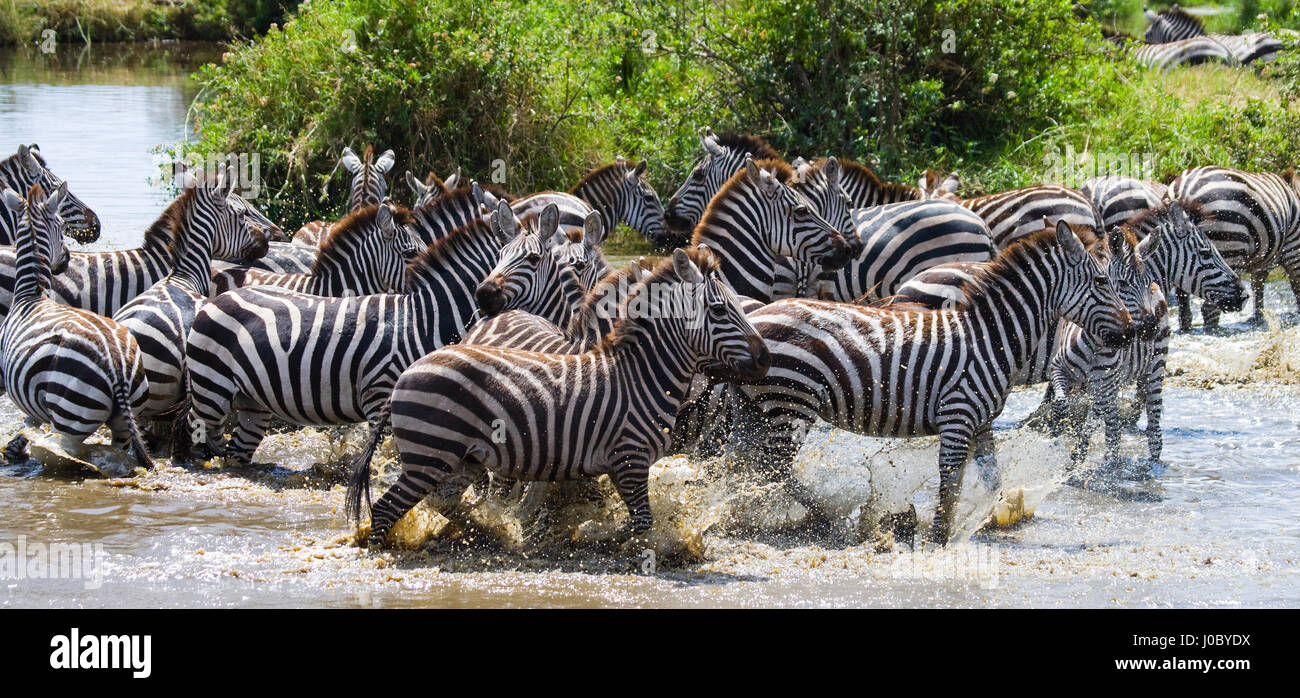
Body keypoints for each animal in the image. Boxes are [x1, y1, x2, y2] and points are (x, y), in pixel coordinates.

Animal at [0, 183, 151, 471]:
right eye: (60, 225)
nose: (66, 260)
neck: (30, 294)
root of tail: (116, 365)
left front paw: (14, 449)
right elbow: (29, 425)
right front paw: (15, 447)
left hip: (69, 417)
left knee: (64, 453)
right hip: (127, 418)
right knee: (119, 449)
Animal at [348, 246, 770, 546]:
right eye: (719, 309)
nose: (765, 358)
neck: (641, 377)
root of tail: (407, 372)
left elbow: (619, 516)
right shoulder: (629, 459)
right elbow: (641, 524)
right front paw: (602, 538)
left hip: (459, 460)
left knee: (441, 503)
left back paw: (489, 532)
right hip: (430, 456)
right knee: (386, 509)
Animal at [727, 220, 1134, 543]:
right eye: (1102, 281)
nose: (1133, 331)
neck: (990, 338)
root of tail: (758, 318)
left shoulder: (981, 422)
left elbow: (991, 478)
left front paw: (996, 514)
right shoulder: (957, 416)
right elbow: (950, 482)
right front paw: (940, 534)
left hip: (756, 410)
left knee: (744, 465)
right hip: (790, 404)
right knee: (774, 469)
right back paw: (827, 518)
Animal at [1167, 165, 1299, 331]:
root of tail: (1186, 191)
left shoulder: (1264, 257)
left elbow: (1258, 284)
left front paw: (1259, 317)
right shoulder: (1292, 249)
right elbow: (1295, 285)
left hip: (1181, 258)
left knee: (1183, 304)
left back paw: (1186, 329)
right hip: (1228, 245)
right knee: (1209, 308)